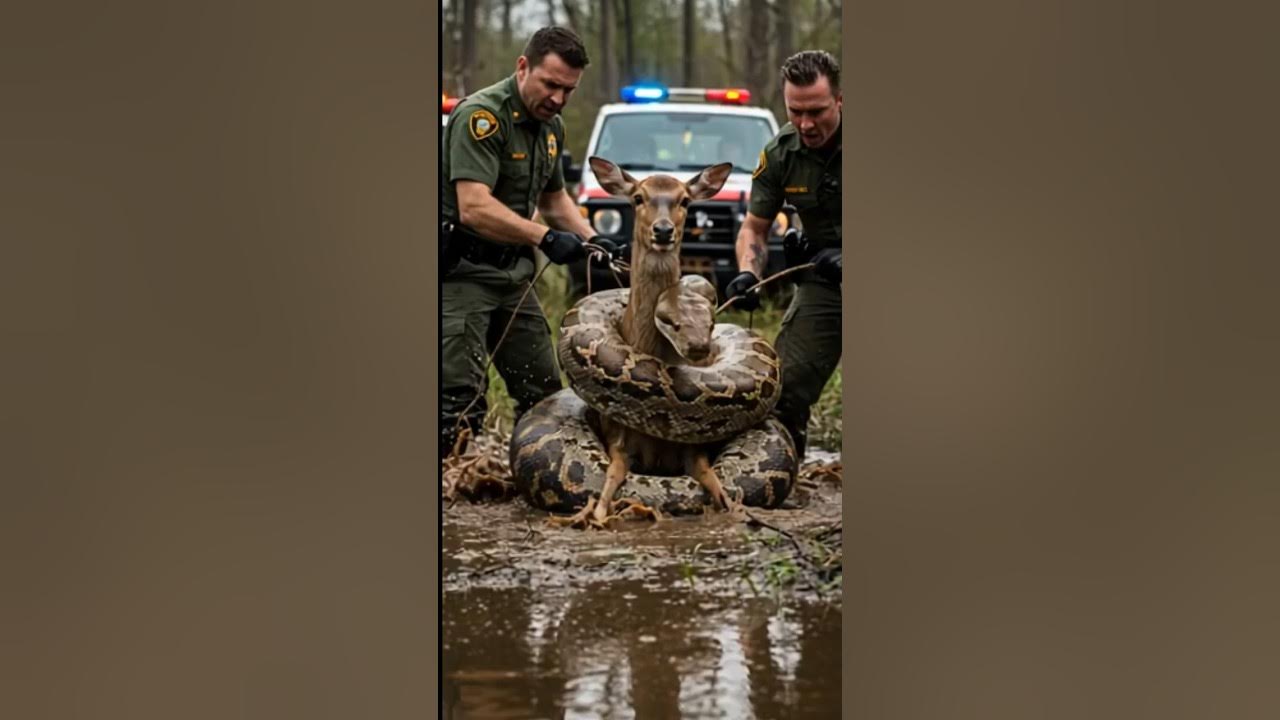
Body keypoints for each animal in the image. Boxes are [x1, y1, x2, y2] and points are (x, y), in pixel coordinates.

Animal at [581, 156, 736, 526]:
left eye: (685, 201)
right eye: (638, 197)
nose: (663, 230)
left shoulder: (691, 447)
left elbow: (713, 482)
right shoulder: (617, 436)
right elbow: (610, 481)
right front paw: (596, 514)